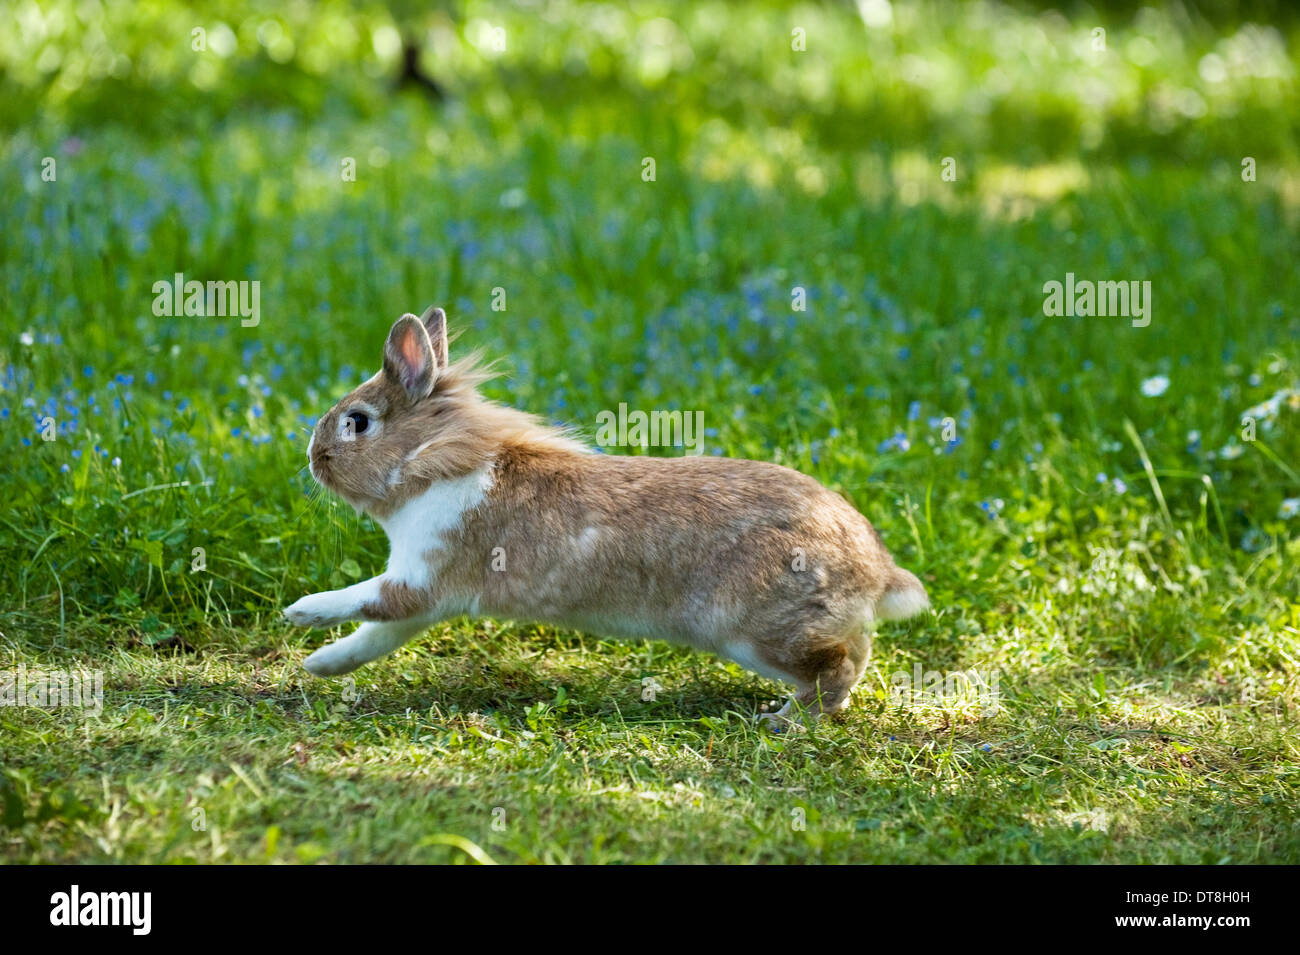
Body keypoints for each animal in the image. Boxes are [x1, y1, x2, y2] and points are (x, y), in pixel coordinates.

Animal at [285, 306, 930, 726]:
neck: (432, 462)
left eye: (358, 422)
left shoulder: (419, 578)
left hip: (756, 631)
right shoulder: (422, 598)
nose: (312, 458)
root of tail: (874, 572)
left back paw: (784, 720)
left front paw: (300, 614)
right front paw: (320, 665)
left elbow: (365, 599)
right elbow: (375, 636)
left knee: (837, 667)